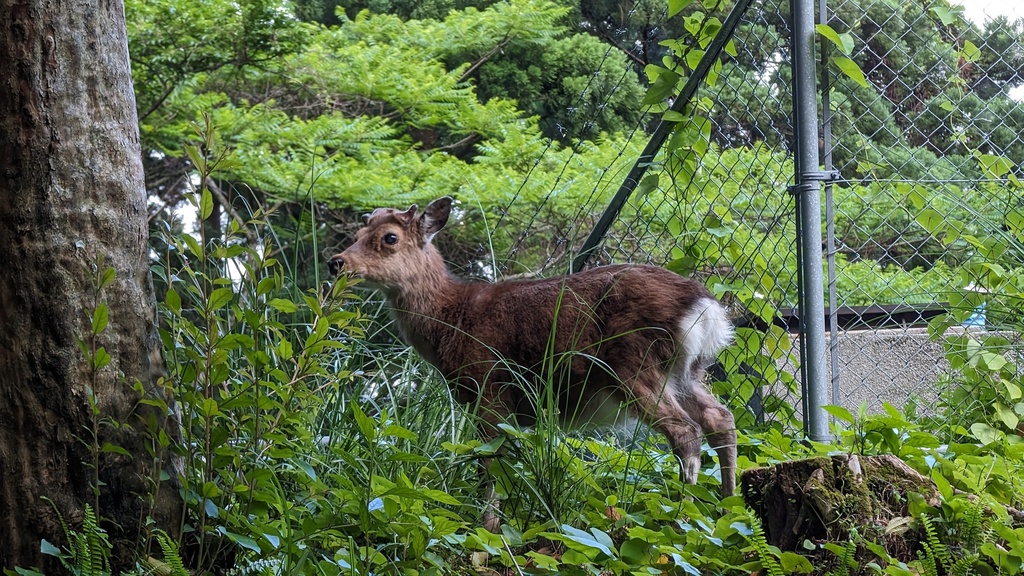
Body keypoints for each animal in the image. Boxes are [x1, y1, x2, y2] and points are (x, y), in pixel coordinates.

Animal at [328, 197, 736, 530]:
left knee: (685, 432)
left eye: (390, 237)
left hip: (631, 364)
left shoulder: (489, 386)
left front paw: (487, 526)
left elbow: (491, 462)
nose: (336, 262)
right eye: (360, 230)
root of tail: (705, 306)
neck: (451, 322)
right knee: (719, 418)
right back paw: (726, 509)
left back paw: (679, 518)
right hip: (687, 371)